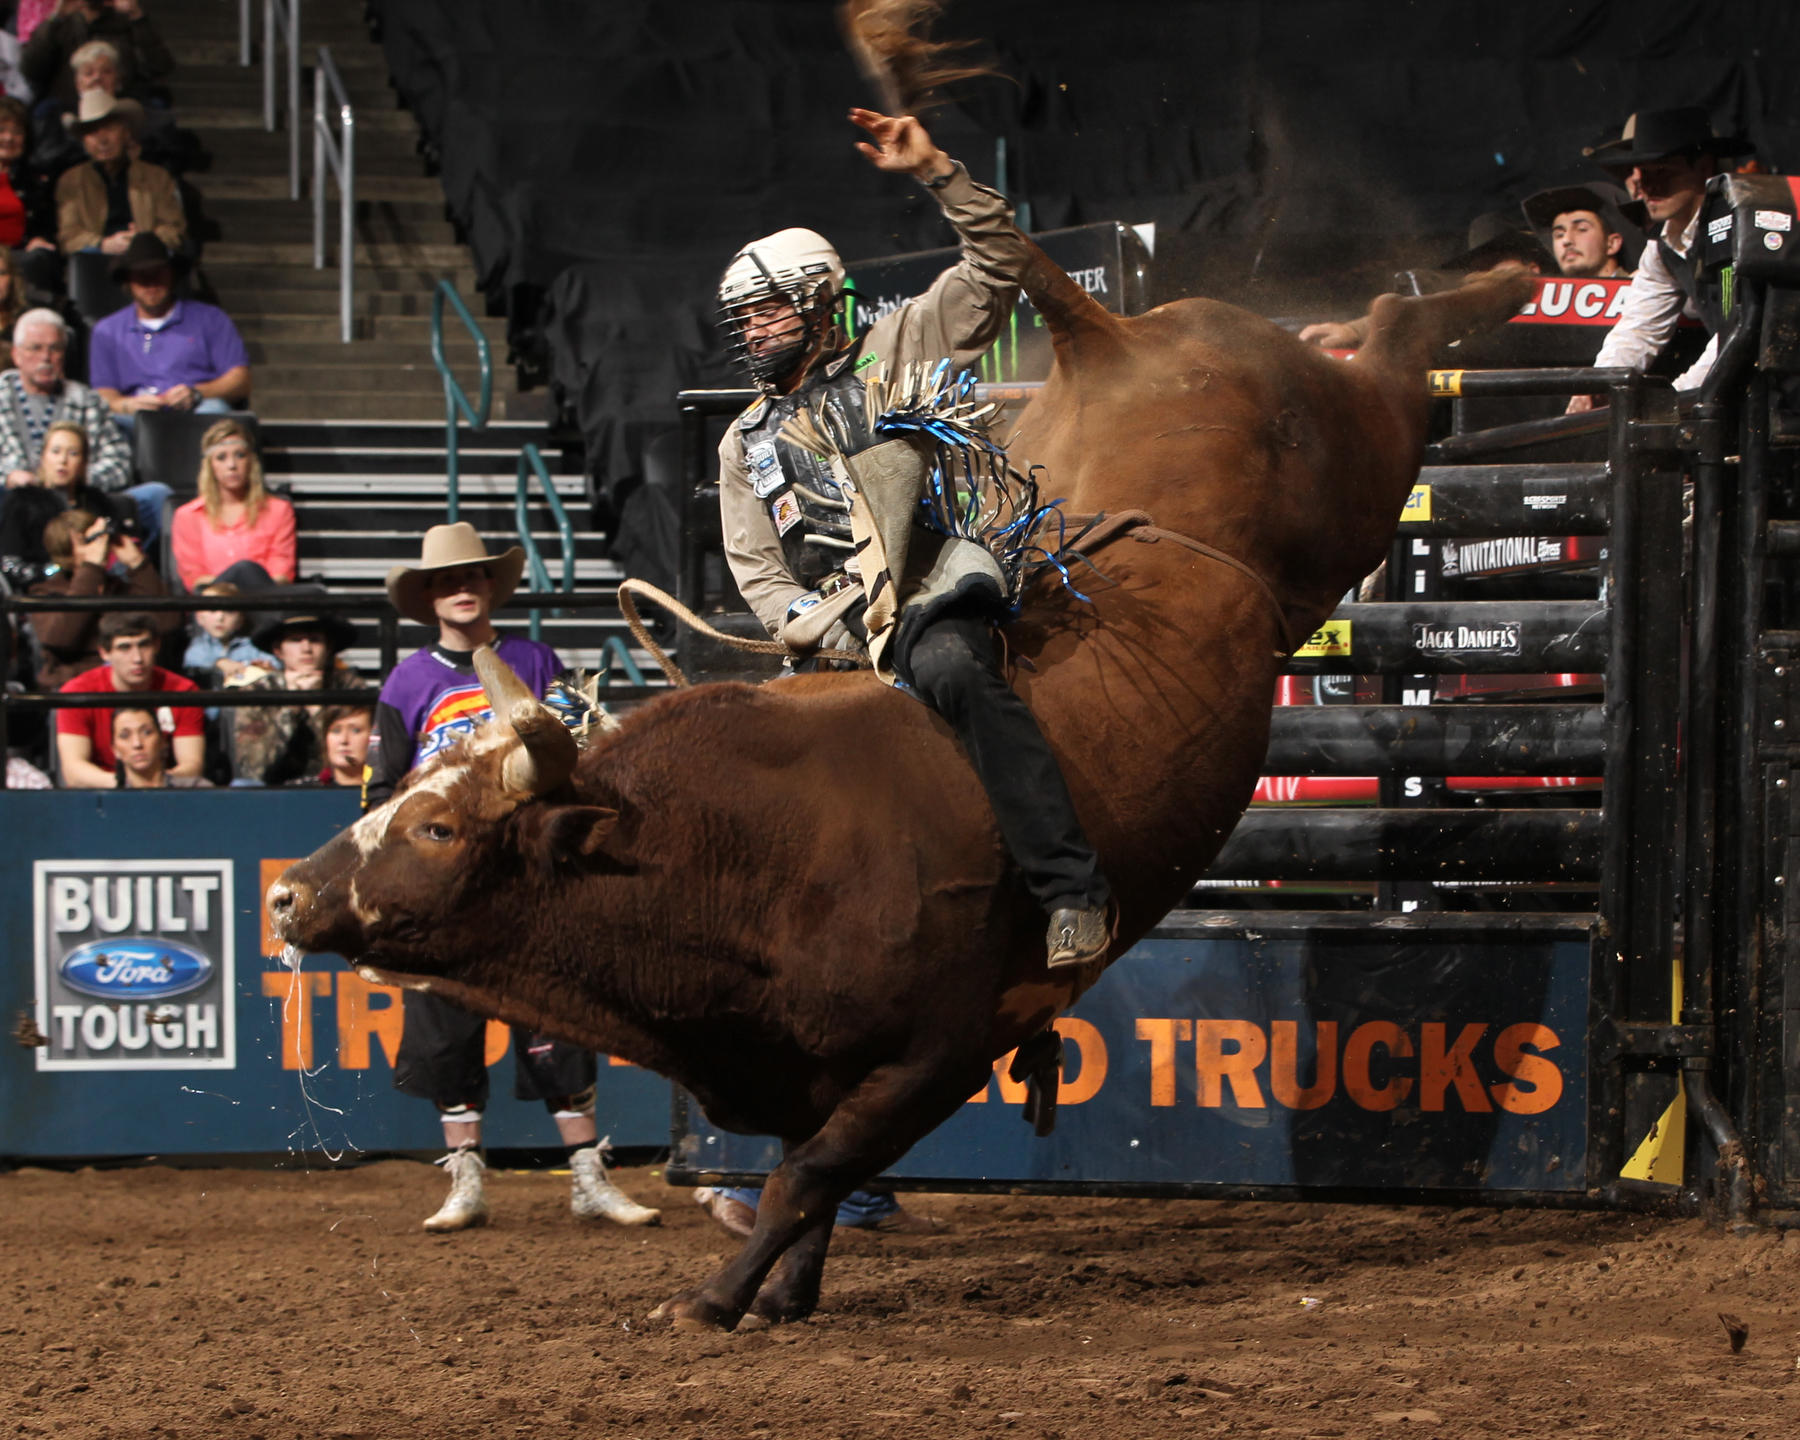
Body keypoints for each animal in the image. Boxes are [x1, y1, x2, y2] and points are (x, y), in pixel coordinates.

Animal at [268, 248, 1529, 1331]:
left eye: (438, 825)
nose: (287, 896)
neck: (719, 847)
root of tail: (1109, 336)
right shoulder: (804, 1066)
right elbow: (814, 1177)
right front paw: (784, 1294)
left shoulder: (942, 1051)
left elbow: (811, 1175)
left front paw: (717, 1299)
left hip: (1358, 463)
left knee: (1398, 342)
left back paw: (1505, 282)